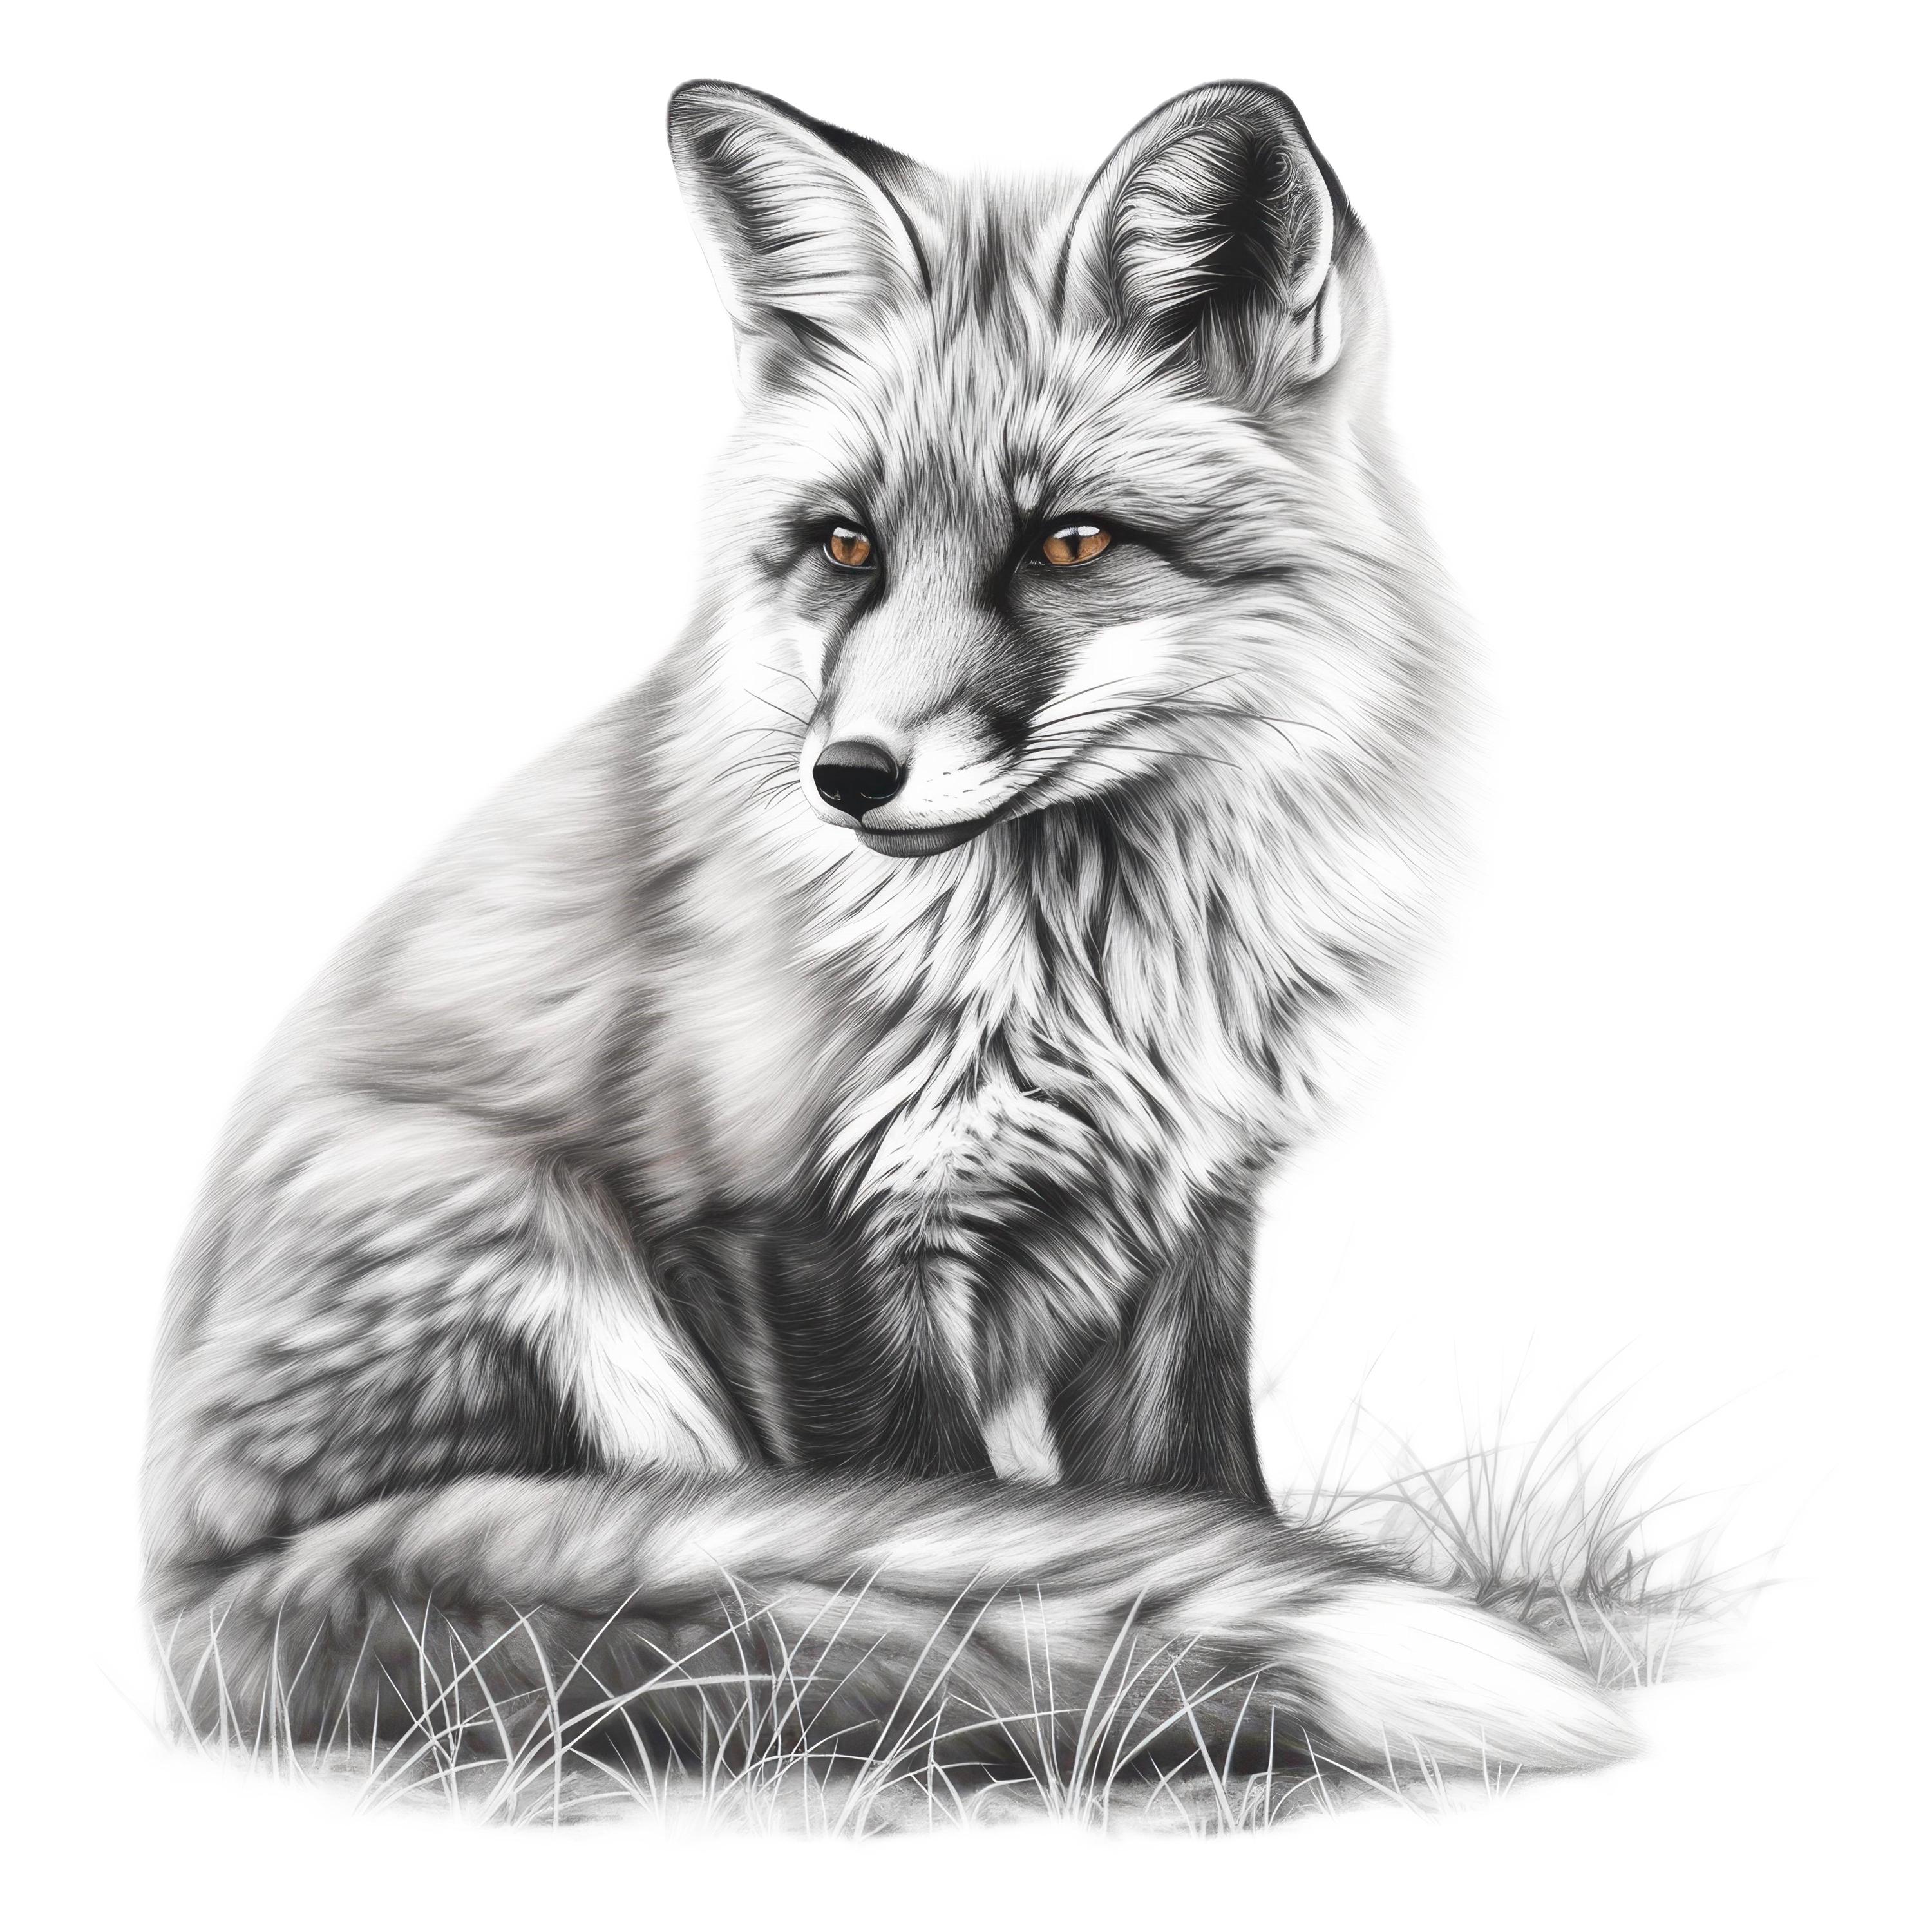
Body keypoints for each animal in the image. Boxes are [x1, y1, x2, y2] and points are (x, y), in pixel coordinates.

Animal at [143, 78, 1635, 1793]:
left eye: (1069, 543)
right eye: (845, 544)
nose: (848, 775)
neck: (1101, 962)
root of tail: (180, 1583)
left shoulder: (1192, 1215)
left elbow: (1200, 1502)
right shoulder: (804, 1228)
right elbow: (948, 1516)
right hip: (507, 1223)